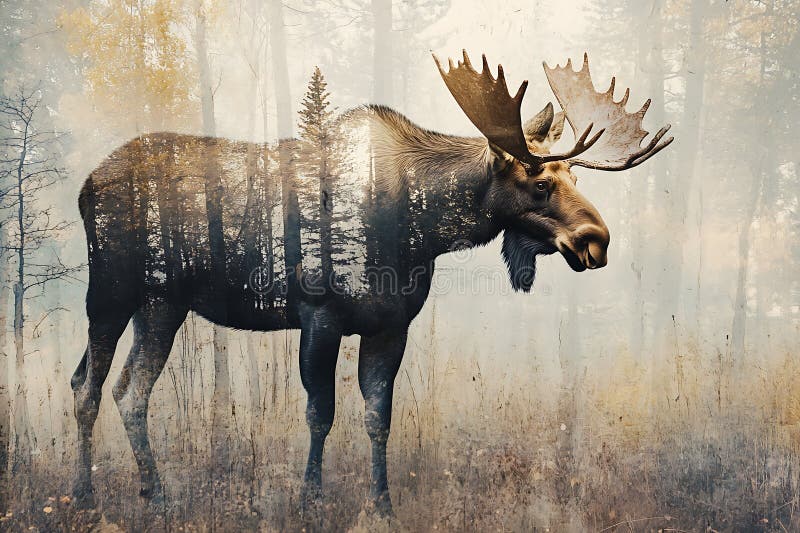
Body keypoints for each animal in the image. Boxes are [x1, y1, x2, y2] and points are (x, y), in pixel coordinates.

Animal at [70, 51, 672, 517]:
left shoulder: (390, 326)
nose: (596, 240)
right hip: (112, 294)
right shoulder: (319, 315)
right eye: (538, 181)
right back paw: (91, 497)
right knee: (93, 387)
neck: (418, 229)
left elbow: (377, 417)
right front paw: (311, 500)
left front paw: (381, 504)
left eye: (573, 175)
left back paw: (150, 492)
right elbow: (320, 414)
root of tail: (85, 184)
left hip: (161, 306)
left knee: (125, 390)